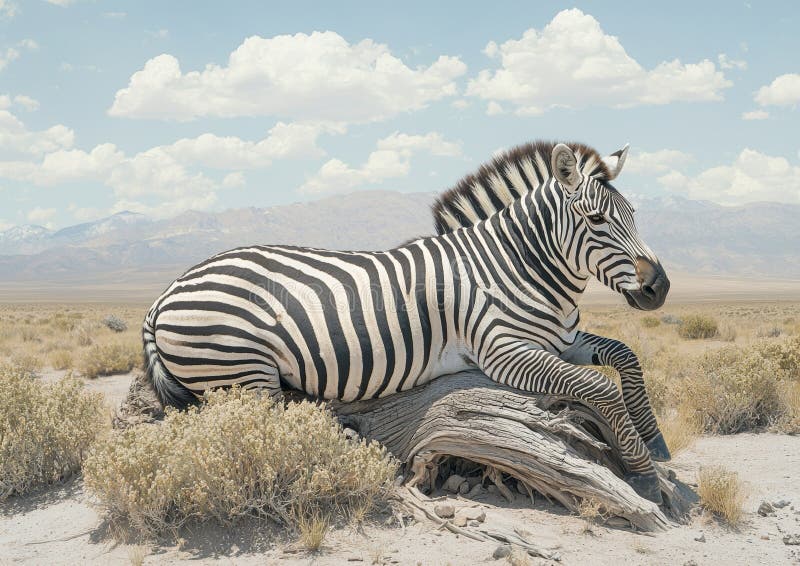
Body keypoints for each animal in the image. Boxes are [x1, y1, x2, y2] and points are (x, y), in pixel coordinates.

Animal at [143, 141, 670, 503]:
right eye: (597, 220)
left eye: (634, 214)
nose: (659, 287)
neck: (514, 266)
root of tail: (165, 294)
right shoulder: (503, 352)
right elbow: (598, 386)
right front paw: (643, 474)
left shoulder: (561, 339)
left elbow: (625, 356)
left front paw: (656, 441)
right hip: (245, 374)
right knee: (258, 432)